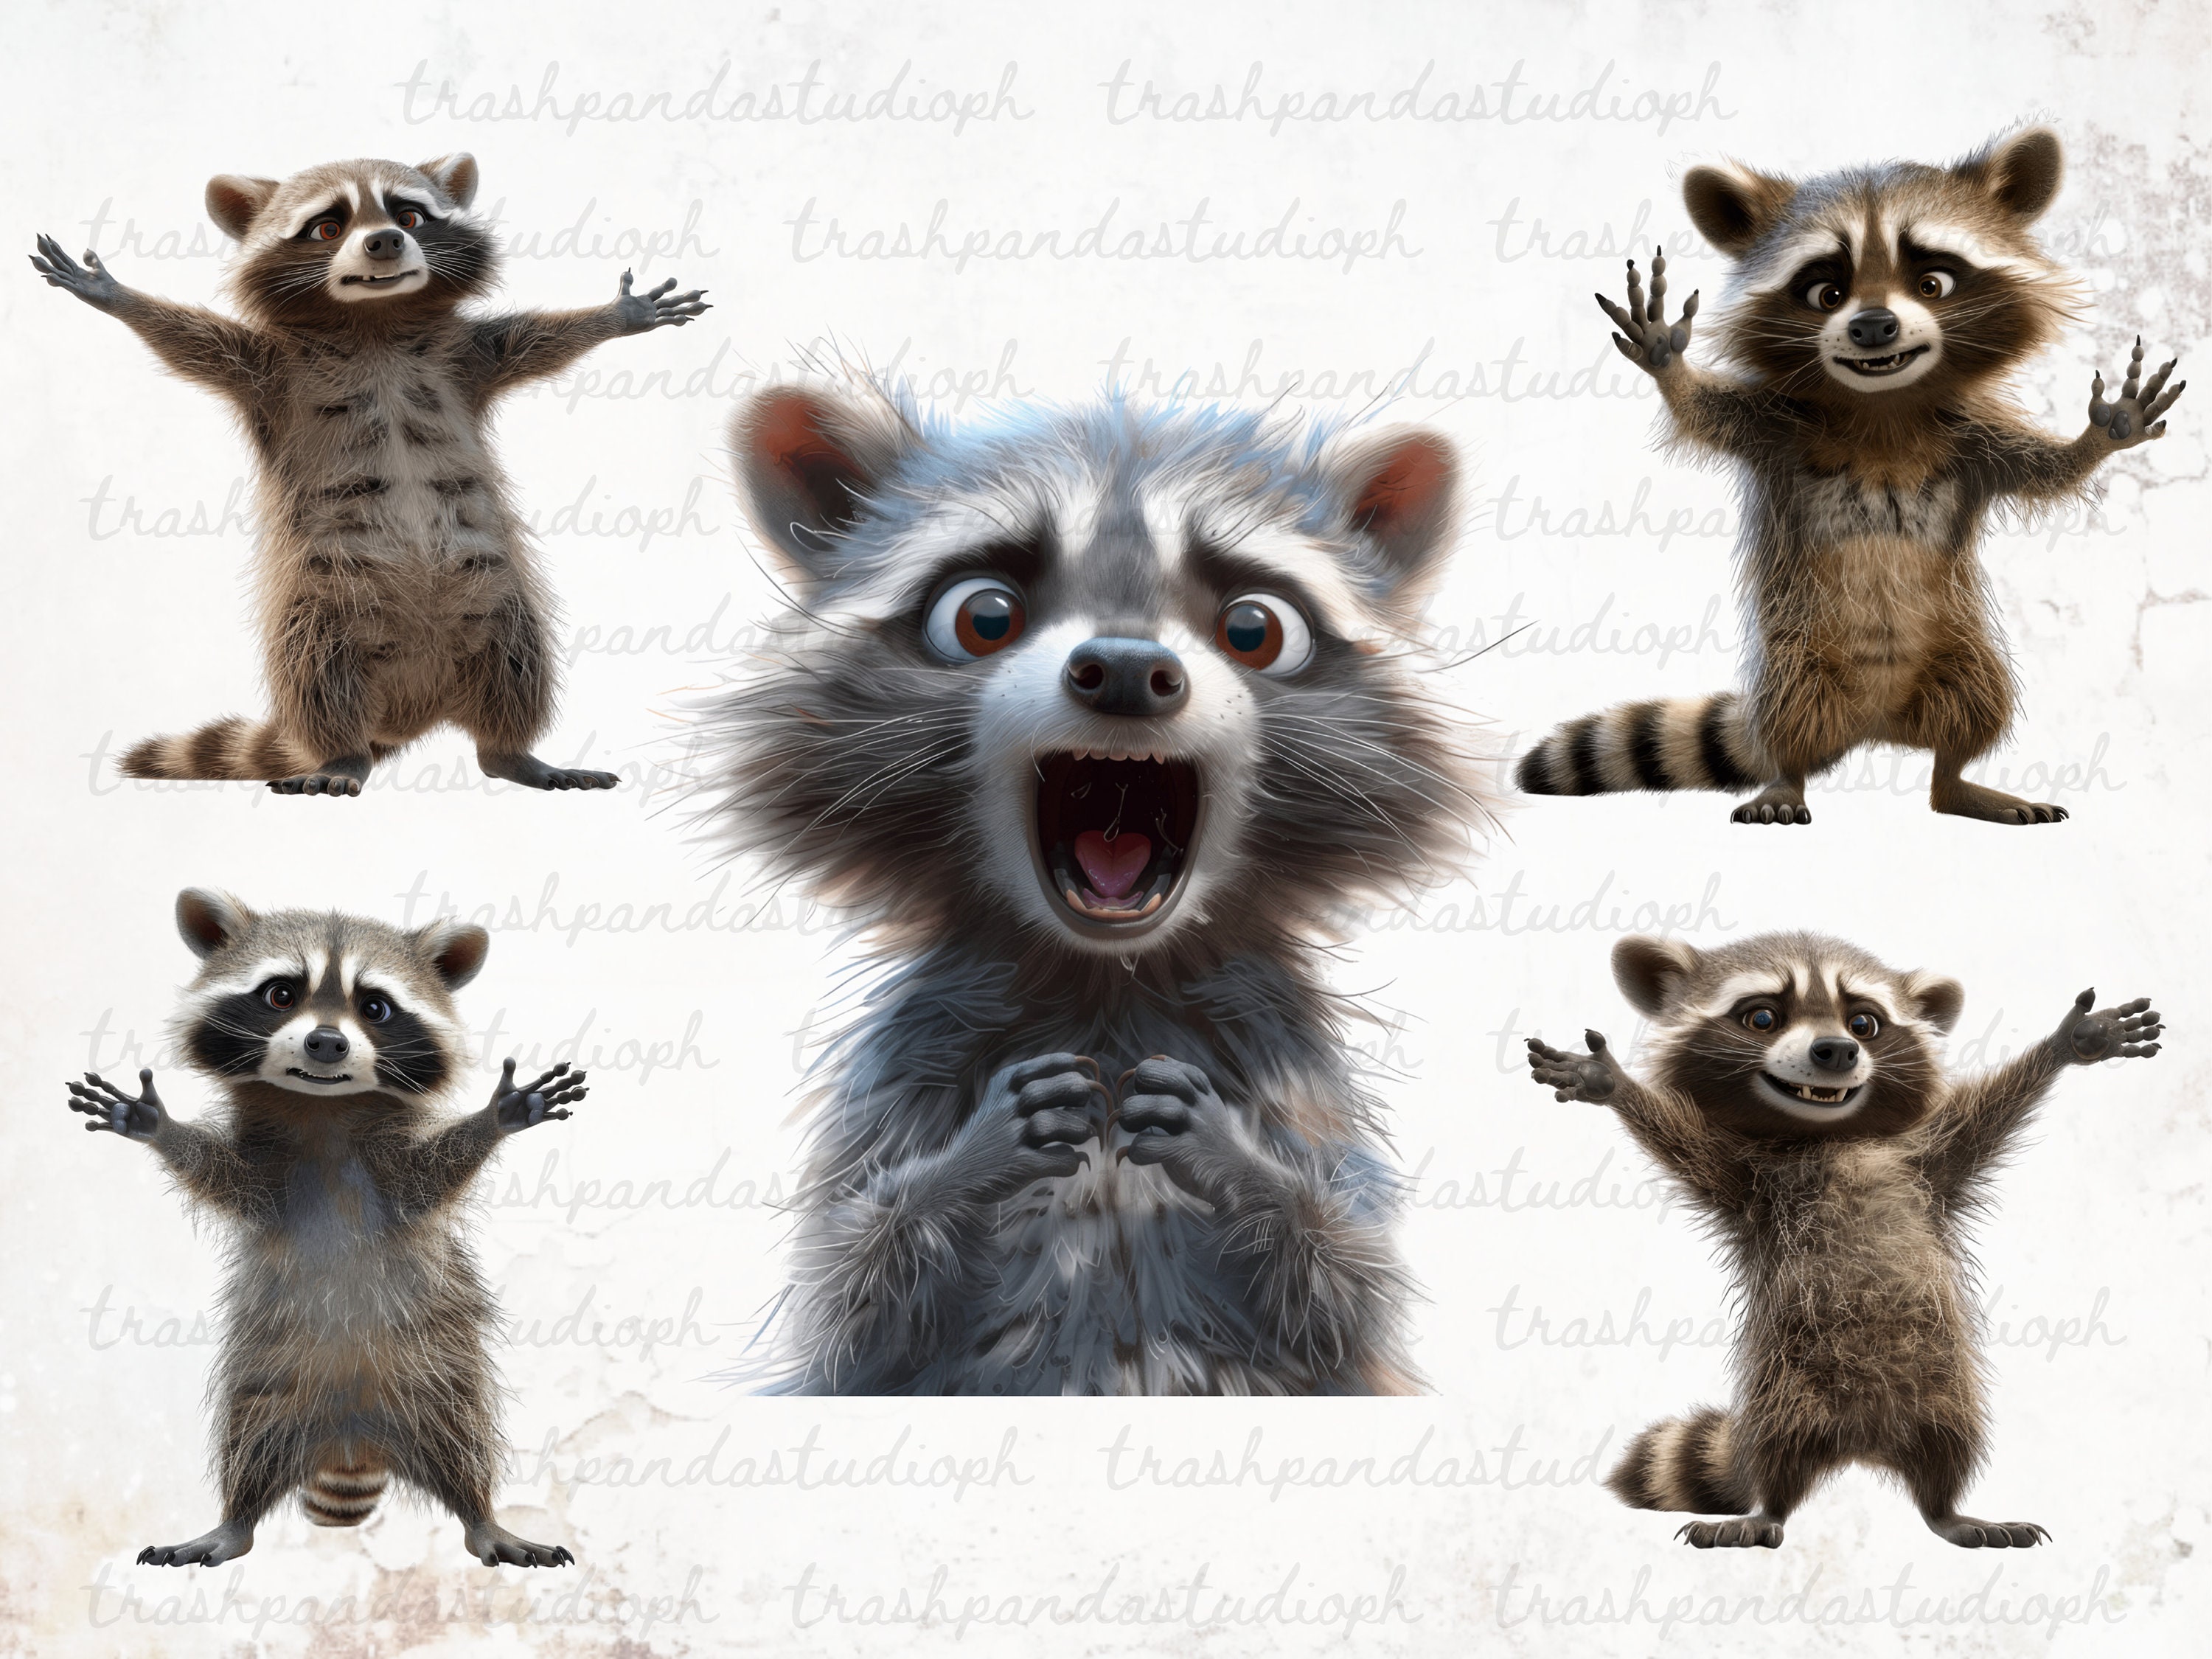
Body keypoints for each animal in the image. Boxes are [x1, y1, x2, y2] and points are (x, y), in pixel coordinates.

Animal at [31, 154, 707, 796]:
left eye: (408, 214)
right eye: (328, 227)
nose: (384, 241)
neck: (374, 323)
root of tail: (411, 710)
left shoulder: (471, 356)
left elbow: (545, 340)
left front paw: (617, 315)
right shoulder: (267, 369)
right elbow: (187, 338)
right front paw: (115, 295)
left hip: (499, 598)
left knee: (519, 660)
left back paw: (511, 751)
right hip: (319, 603)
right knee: (315, 672)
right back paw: (345, 755)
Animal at [63, 889, 587, 1567]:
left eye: (375, 1006)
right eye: (282, 994)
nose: (326, 1044)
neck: (324, 1108)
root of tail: (349, 1440)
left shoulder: (391, 1175)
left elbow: (432, 1181)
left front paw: (495, 1117)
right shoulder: (269, 1179)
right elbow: (224, 1179)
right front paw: (159, 1126)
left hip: (439, 1365)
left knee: (463, 1434)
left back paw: (481, 1516)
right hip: (267, 1369)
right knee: (248, 1437)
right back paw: (234, 1521)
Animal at [695, 383, 1486, 1393]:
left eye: (1256, 629)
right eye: (983, 616)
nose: (1125, 672)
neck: (1108, 977)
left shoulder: (1297, 1080)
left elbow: (1346, 1289)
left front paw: (1242, 1167)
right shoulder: (904, 1069)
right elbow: (854, 1294)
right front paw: (963, 1166)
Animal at [1515, 127, 2184, 826]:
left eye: (1933, 282)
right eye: (1826, 293)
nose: (1873, 327)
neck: (1883, 407)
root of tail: (1874, 724)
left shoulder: (1976, 442)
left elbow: (2046, 472)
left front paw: (2104, 435)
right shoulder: (1775, 429)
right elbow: (1704, 412)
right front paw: (1669, 363)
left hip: (1962, 644)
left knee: (1980, 703)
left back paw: (1958, 781)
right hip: (1795, 654)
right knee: (1791, 719)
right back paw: (1789, 777)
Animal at [1526, 931, 2161, 1547]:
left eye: (1864, 1023)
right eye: (1762, 1017)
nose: (1836, 1051)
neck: (1831, 1138)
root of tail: (1863, 1444)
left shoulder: (1929, 1166)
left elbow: (1993, 1112)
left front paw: (2072, 1041)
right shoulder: (1747, 1184)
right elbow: (1678, 1139)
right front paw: (1611, 1082)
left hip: (1945, 1391)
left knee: (1948, 1450)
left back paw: (1947, 1510)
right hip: (1784, 1388)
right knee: (1779, 1457)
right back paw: (1769, 1509)